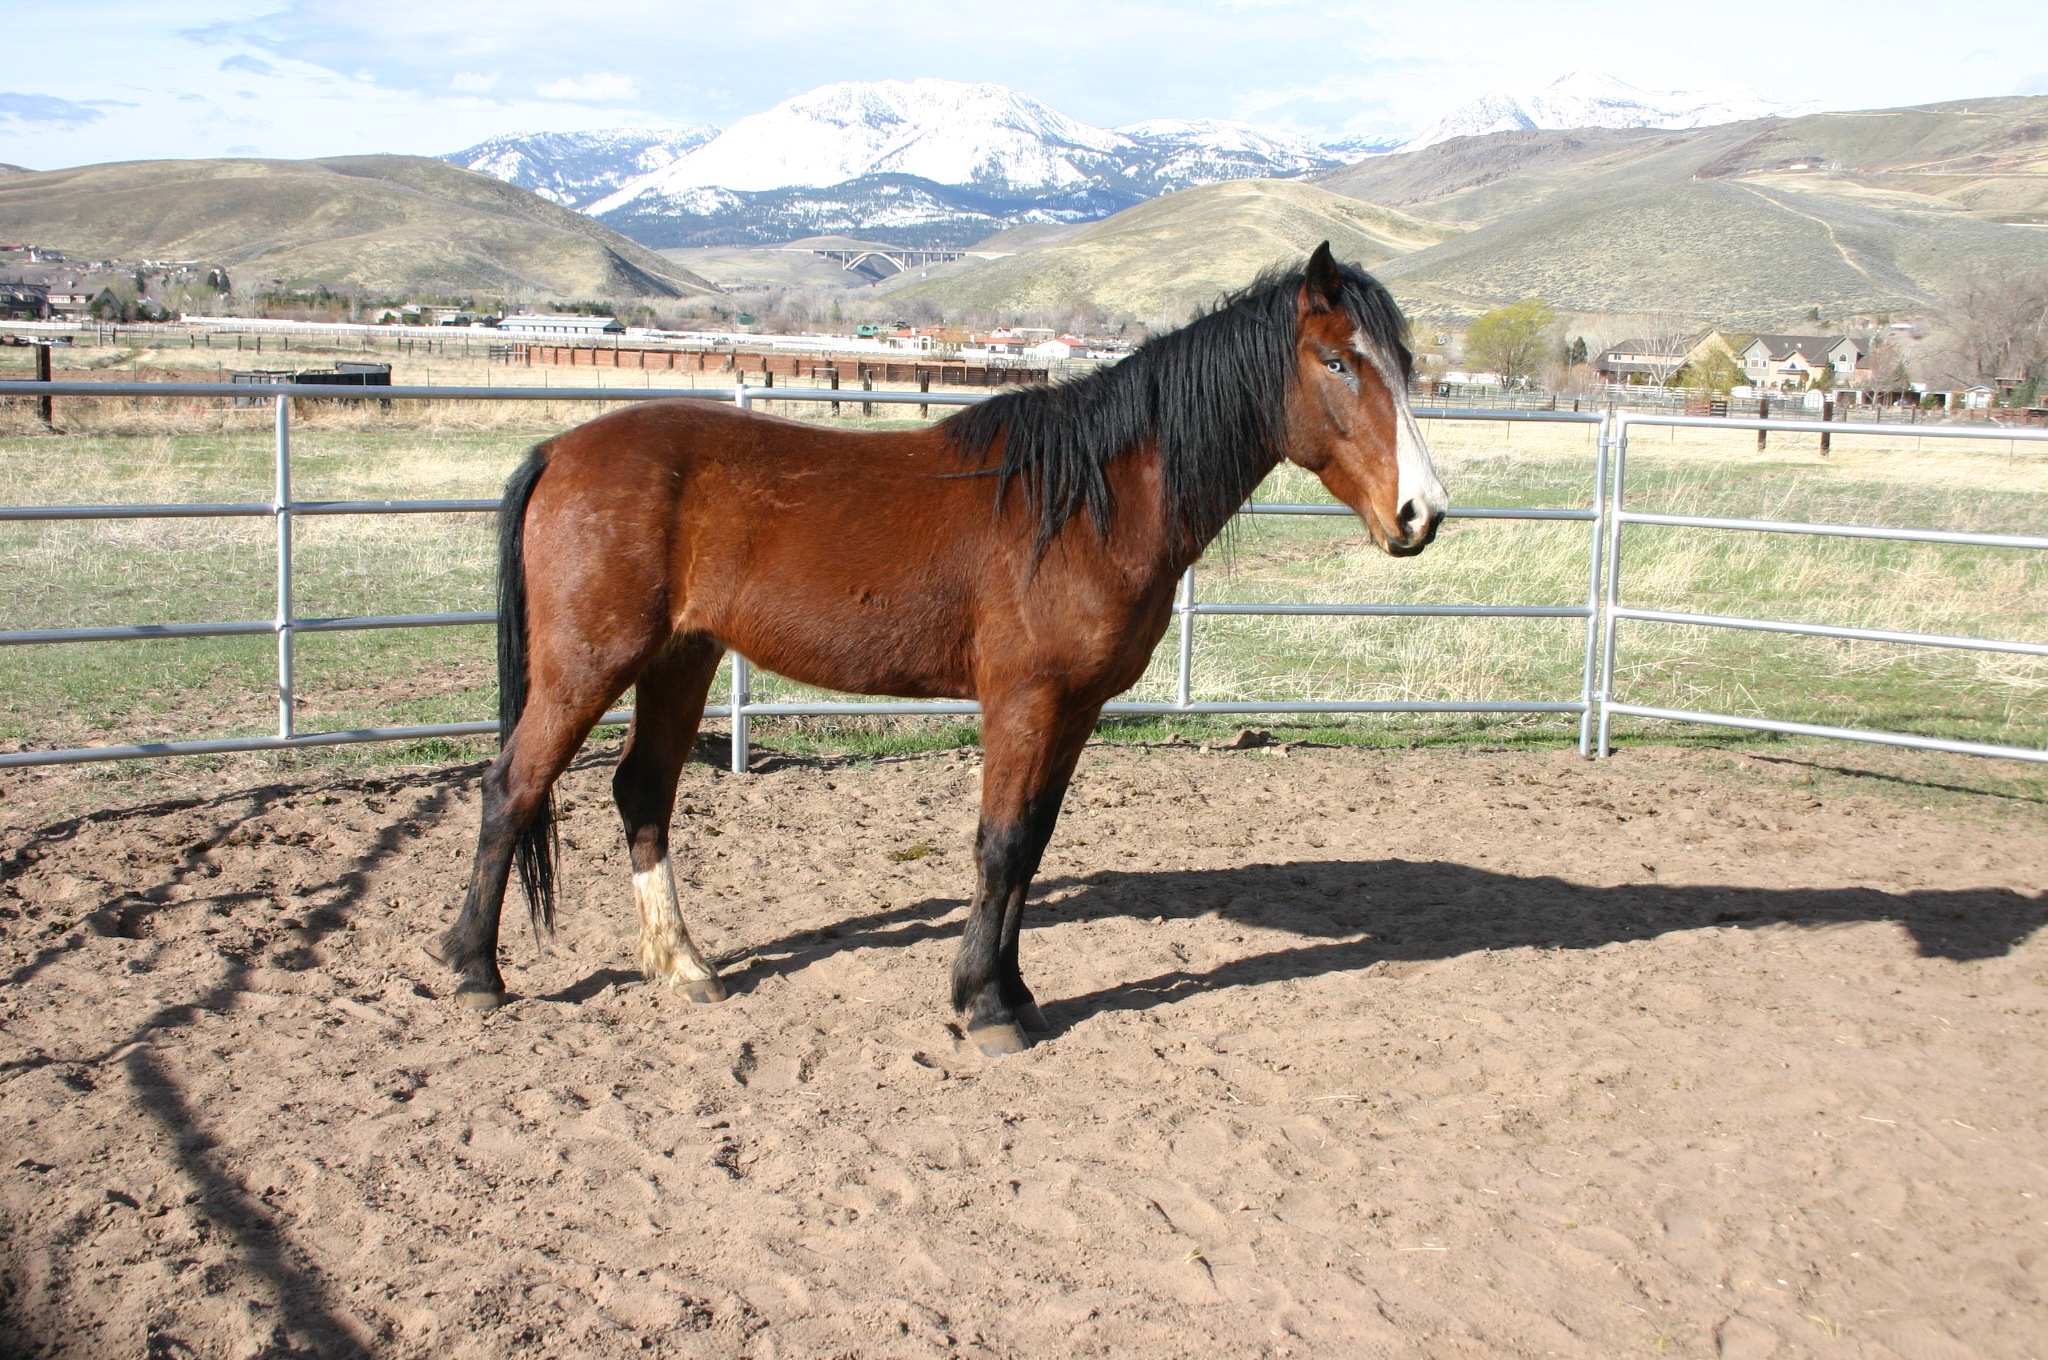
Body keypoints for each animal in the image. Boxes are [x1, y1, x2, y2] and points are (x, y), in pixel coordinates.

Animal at [436, 241, 1448, 1057]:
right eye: (1336, 360)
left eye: (1402, 365)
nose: (1422, 514)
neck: (1083, 503)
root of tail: (563, 450)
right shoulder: (1025, 703)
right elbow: (999, 847)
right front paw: (984, 1010)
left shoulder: (1076, 711)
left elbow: (1032, 846)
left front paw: (1016, 993)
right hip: (587, 667)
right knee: (512, 788)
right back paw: (476, 972)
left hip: (679, 660)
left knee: (641, 793)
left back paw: (683, 967)